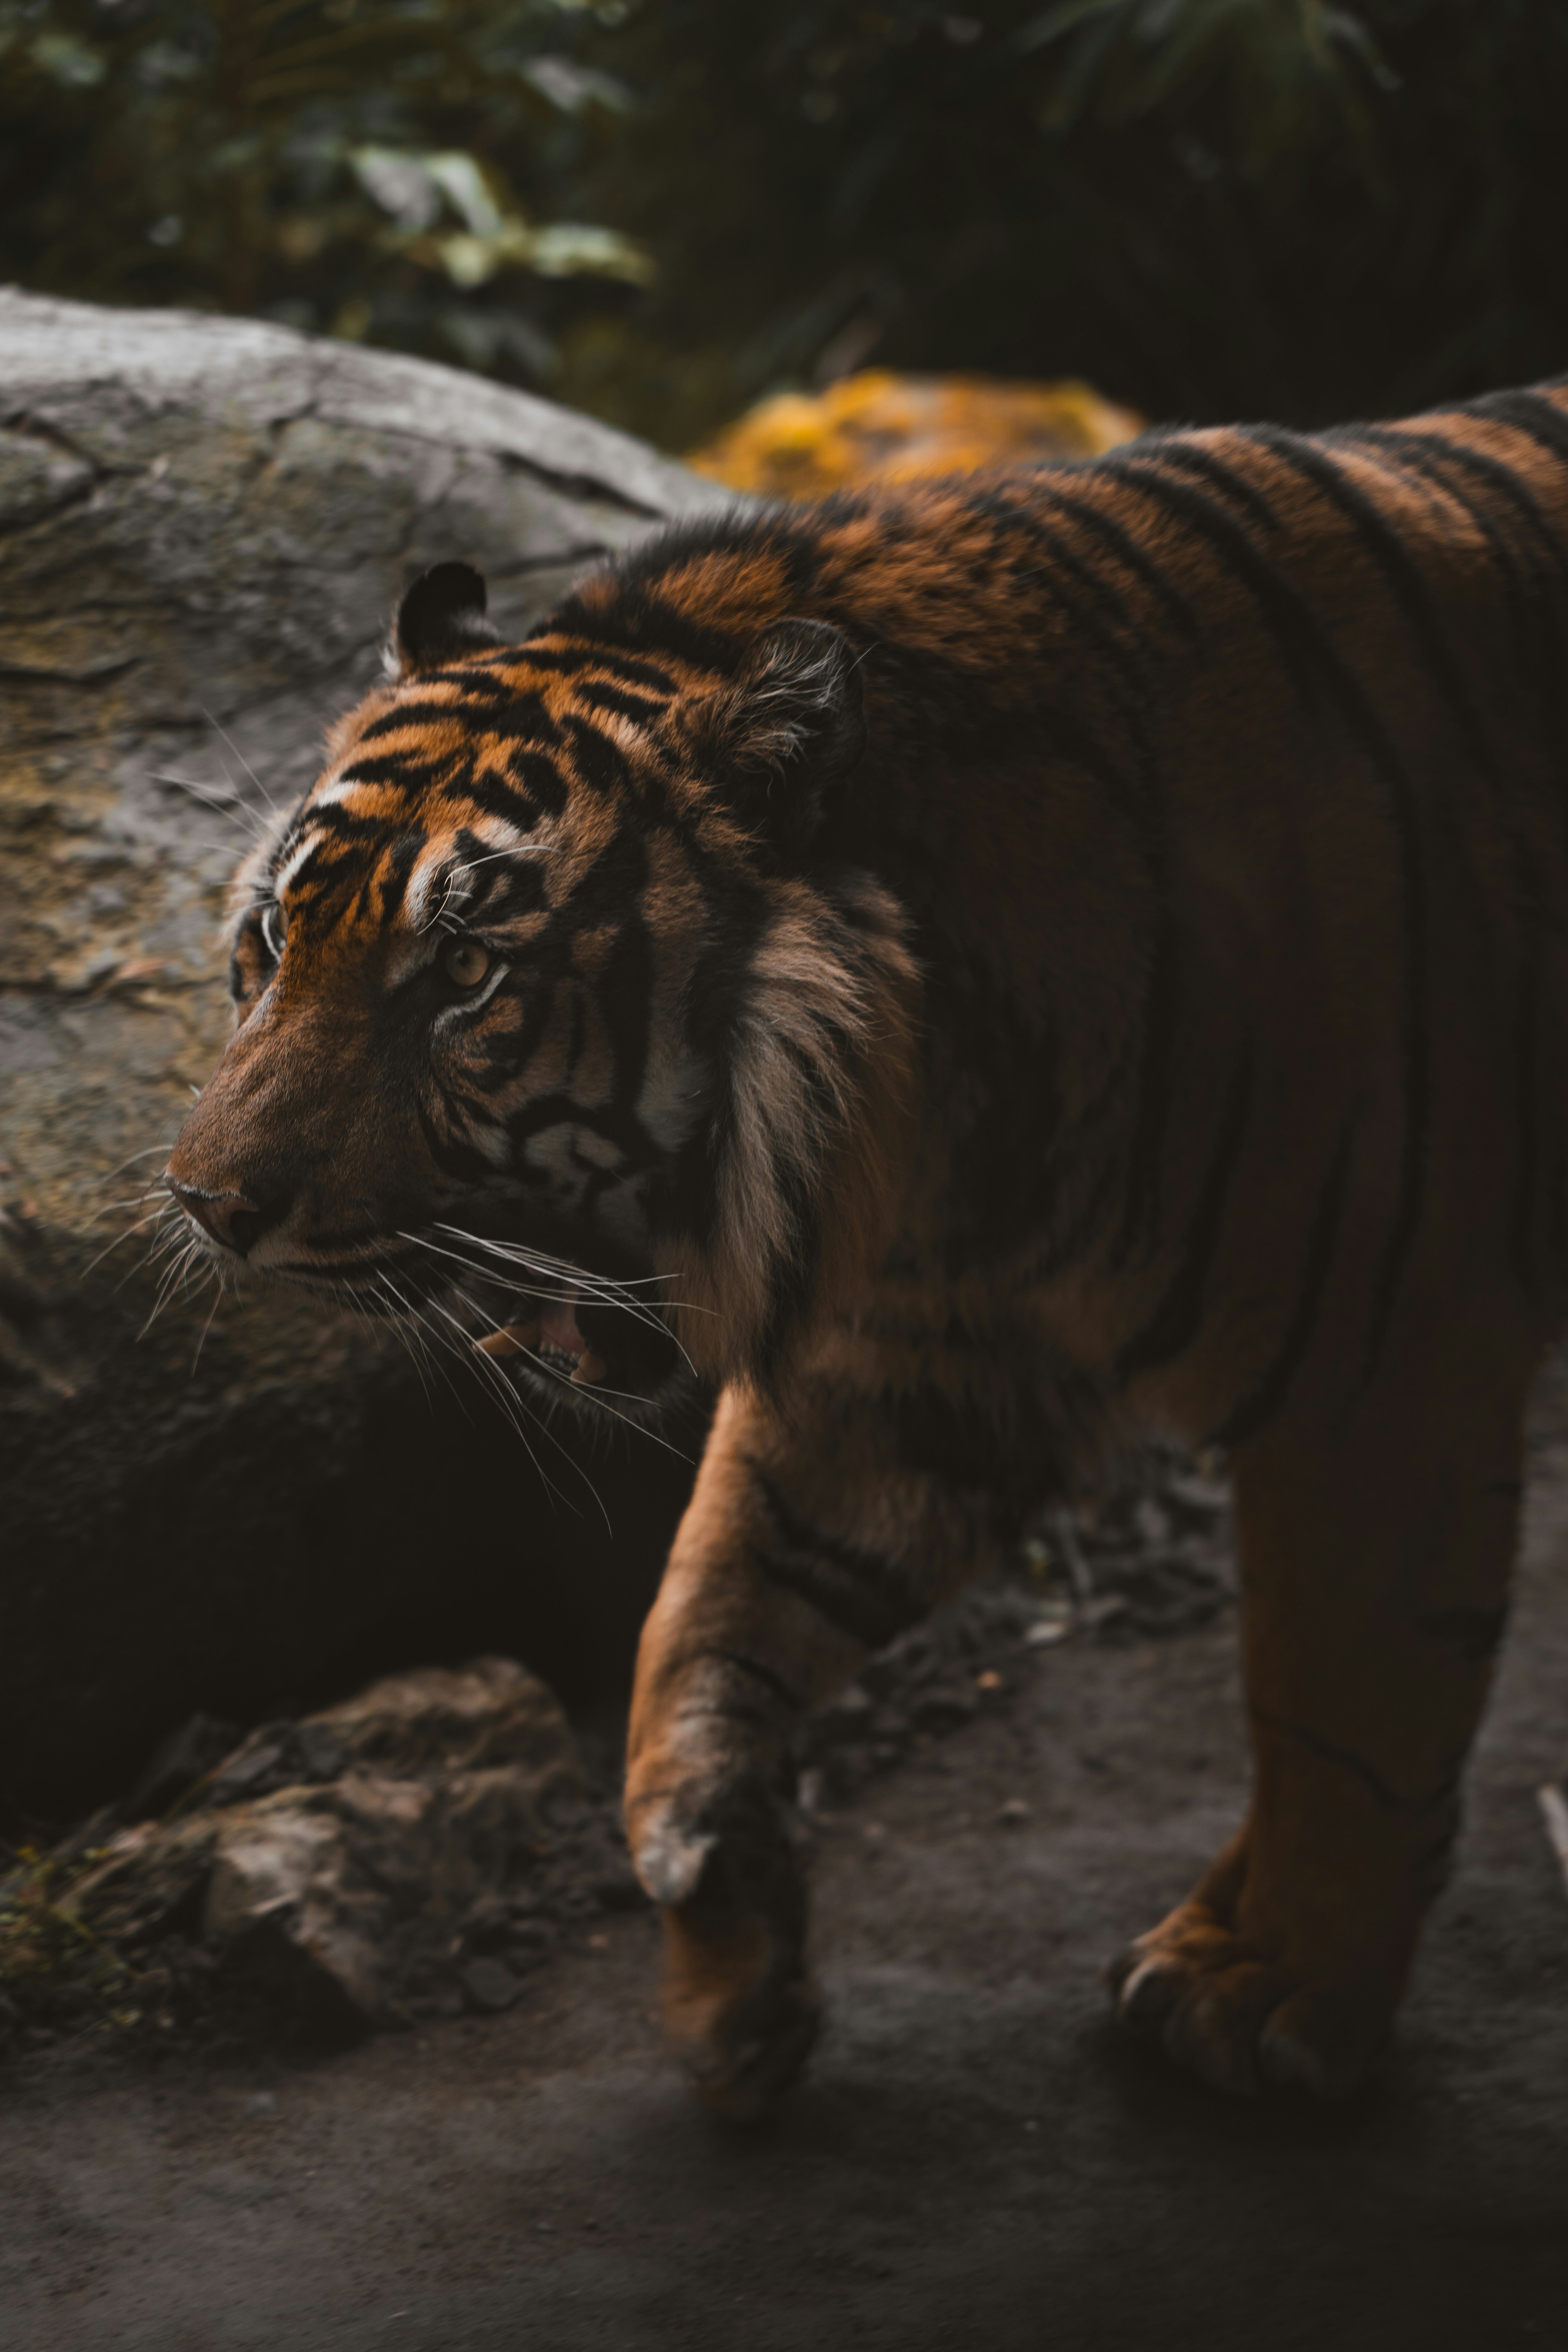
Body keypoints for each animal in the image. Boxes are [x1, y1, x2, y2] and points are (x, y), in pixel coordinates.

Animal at [164, 376, 1568, 2119]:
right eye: (274, 937)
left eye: (465, 976)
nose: (203, 1202)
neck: (952, 1096)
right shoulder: (924, 1350)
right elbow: (706, 1613)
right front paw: (727, 1938)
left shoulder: (1380, 1371)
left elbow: (1341, 1701)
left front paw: (1266, 1988)